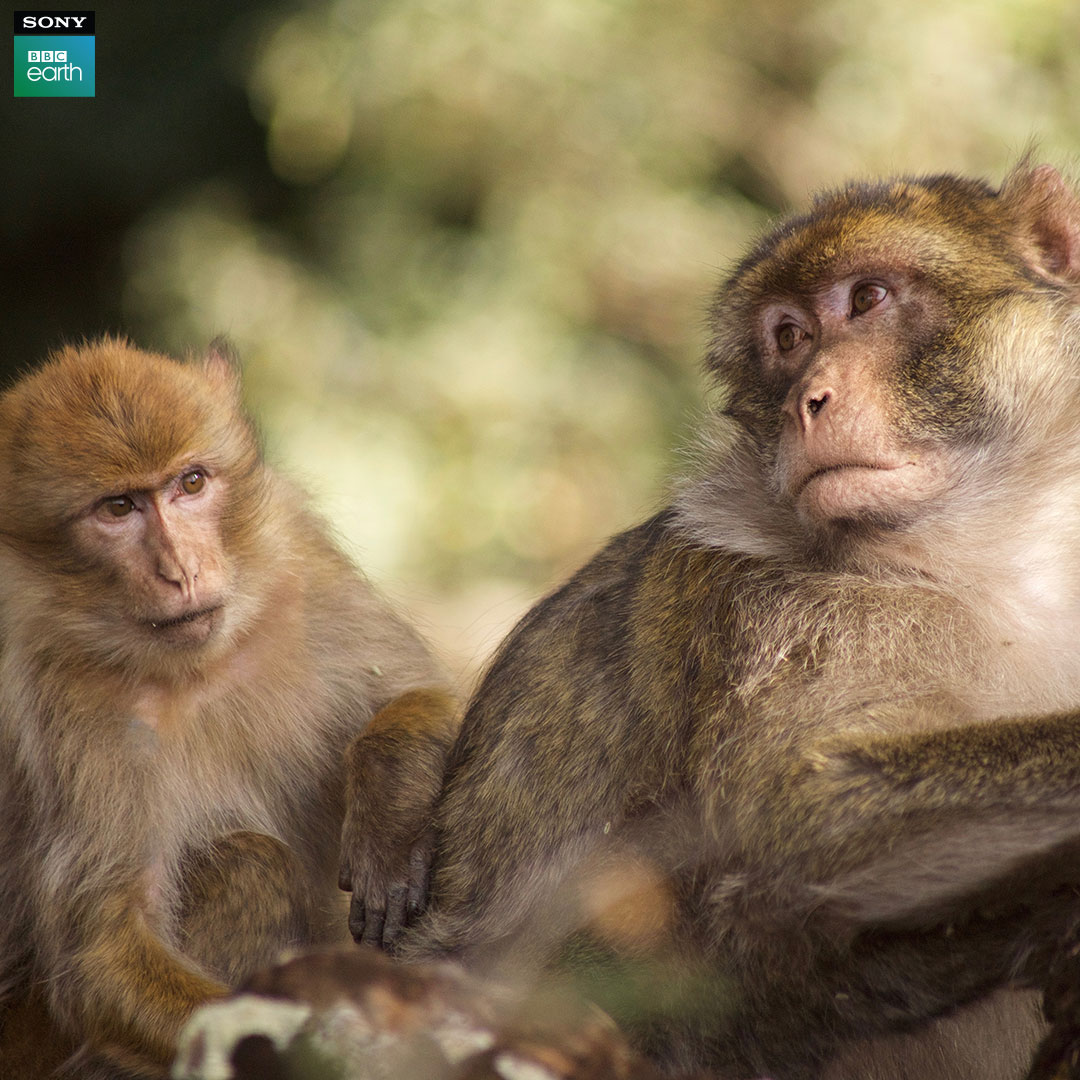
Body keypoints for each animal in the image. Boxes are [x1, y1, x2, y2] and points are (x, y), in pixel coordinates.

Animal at [0, 338, 459, 1078]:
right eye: (118, 507)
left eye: (190, 483)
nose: (181, 570)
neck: (198, 668)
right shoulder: (64, 705)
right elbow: (103, 955)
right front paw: (316, 1048)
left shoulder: (300, 560)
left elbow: (425, 690)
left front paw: (388, 811)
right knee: (247, 864)